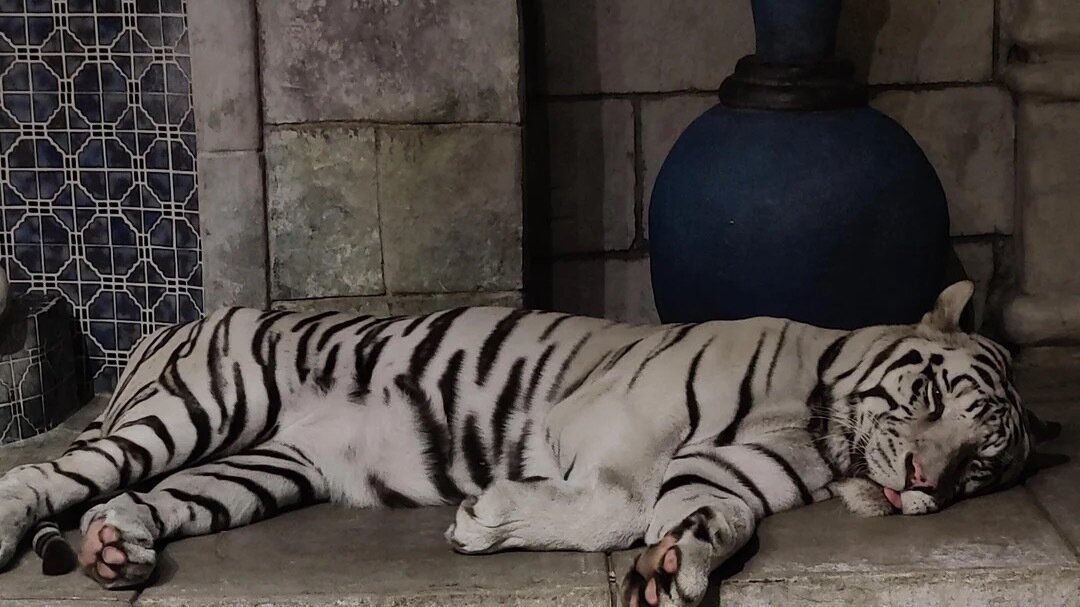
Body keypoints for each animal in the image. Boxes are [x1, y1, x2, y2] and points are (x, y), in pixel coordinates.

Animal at [0, 280, 1056, 607]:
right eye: (928, 393)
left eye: (980, 465)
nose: (921, 479)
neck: (815, 428)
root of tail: (166, 330)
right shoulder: (611, 424)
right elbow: (619, 504)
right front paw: (488, 518)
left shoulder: (720, 475)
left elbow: (711, 519)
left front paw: (675, 567)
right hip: (199, 405)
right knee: (53, 469)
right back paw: (27, 520)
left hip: (260, 468)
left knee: (137, 499)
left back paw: (115, 549)